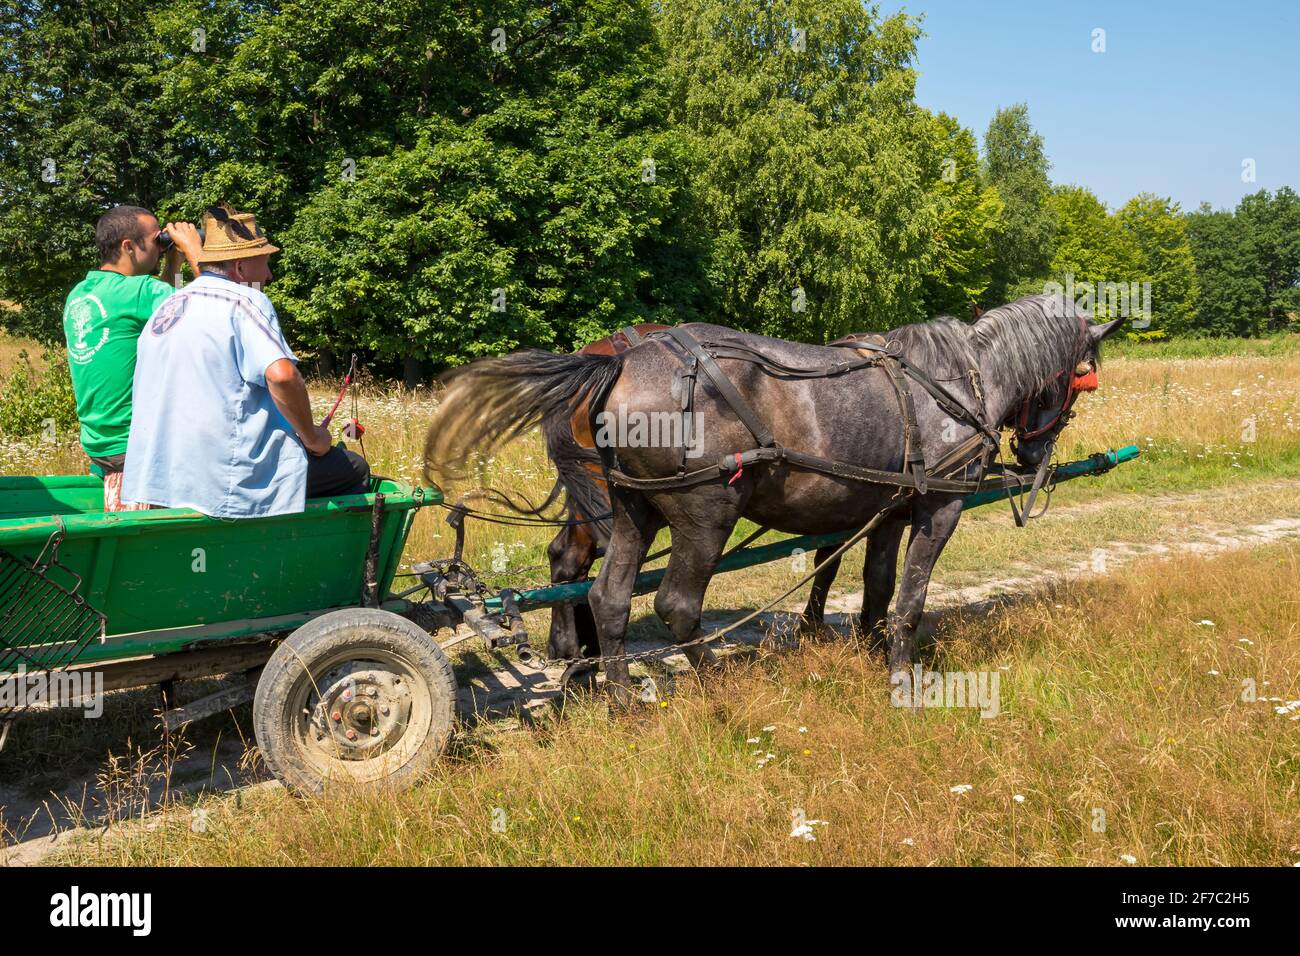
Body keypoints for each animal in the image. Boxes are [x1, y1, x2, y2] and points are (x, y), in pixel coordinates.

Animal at [426, 295, 1122, 701]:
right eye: (1081, 378)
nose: (1032, 457)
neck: (960, 381)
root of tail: (613, 364)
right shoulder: (937, 510)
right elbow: (909, 599)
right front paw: (900, 676)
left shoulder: (890, 509)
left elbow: (874, 585)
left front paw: (865, 648)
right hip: (703, 514)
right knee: (675, 604)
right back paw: (711, 684)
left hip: (633, 511)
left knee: (606, 593)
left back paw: (614, 690)